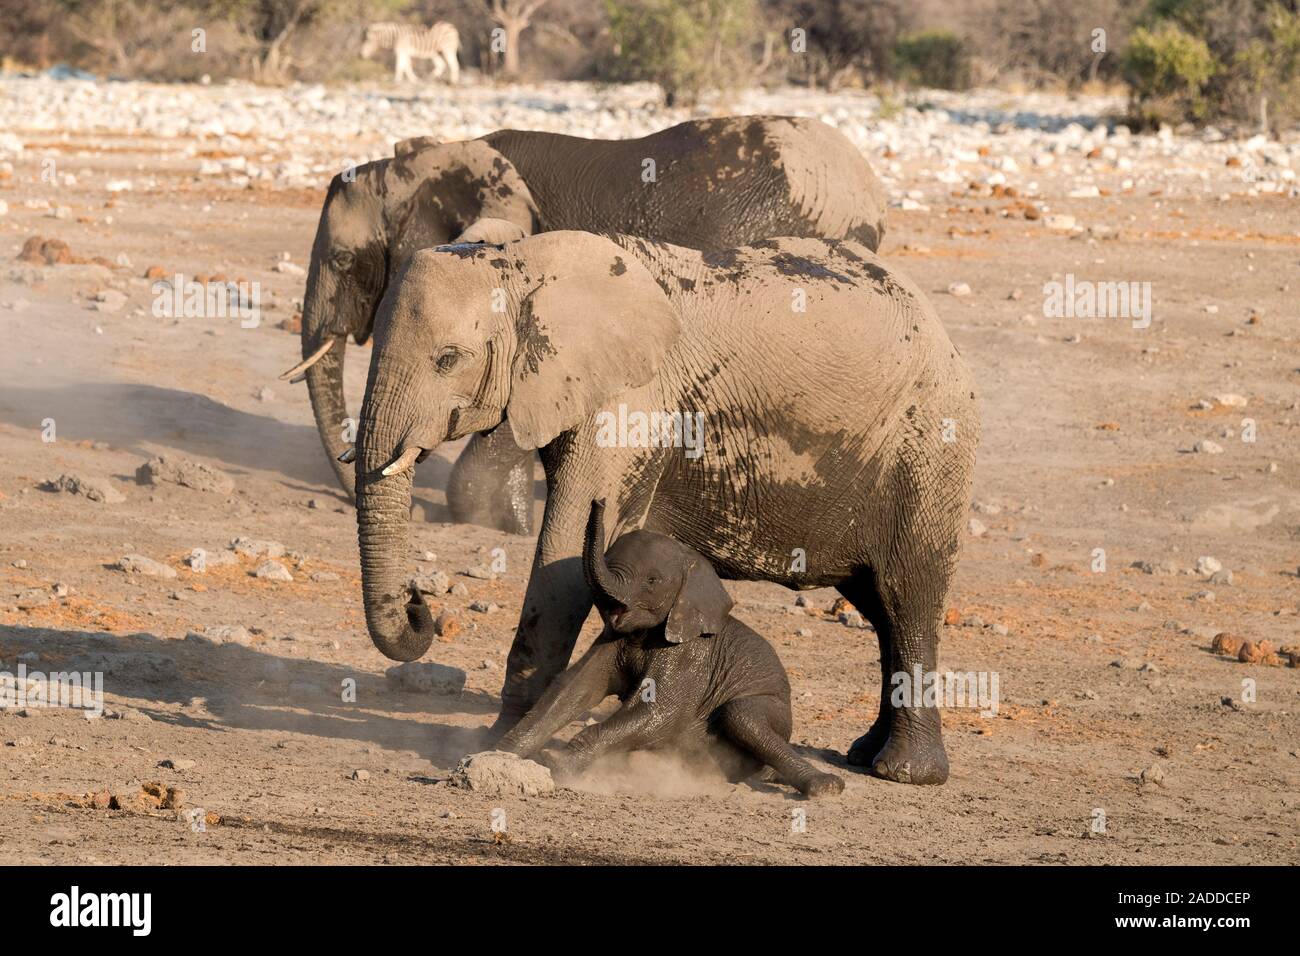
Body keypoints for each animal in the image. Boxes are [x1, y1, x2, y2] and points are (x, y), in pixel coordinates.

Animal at [498, 499, 846, 798]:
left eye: (652, 581)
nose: (599, 501)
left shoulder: (688, 654)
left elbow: (659, 712)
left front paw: (557, 766)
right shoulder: (613, 639)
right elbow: (572, 690)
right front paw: (501, 753)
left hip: (774, 711)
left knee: (741, 714)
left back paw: (825, 786)